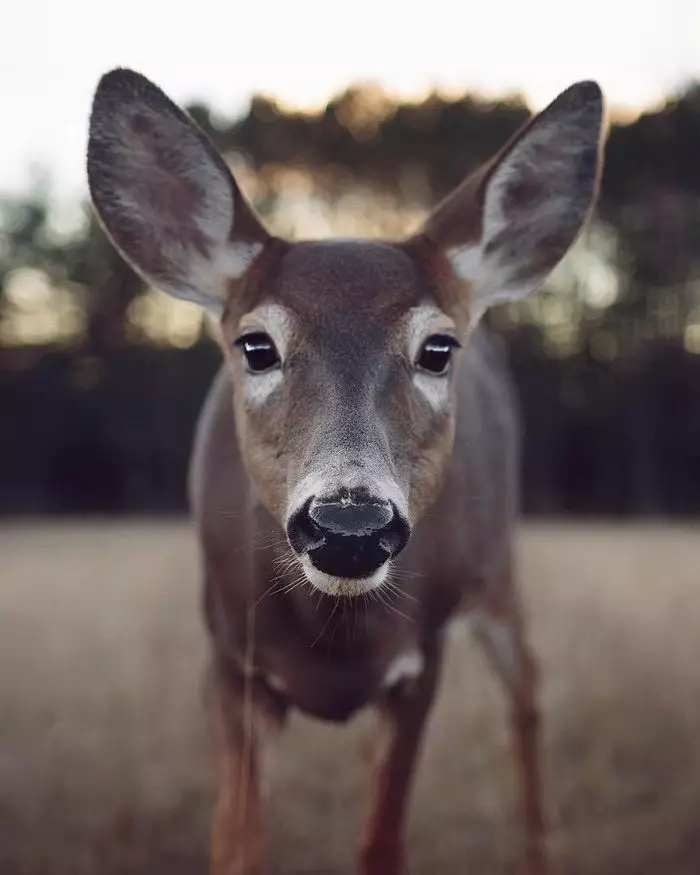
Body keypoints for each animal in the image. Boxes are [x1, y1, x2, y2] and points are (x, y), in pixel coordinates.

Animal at [86, 70, 600, 875]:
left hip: (498, 568)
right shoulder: (228, 662)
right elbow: (237, 843)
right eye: (256, 344)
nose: (349, 522)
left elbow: (382, 842)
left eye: (438, 348)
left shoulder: (422, 659)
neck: (332, 642)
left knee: (529, 690)